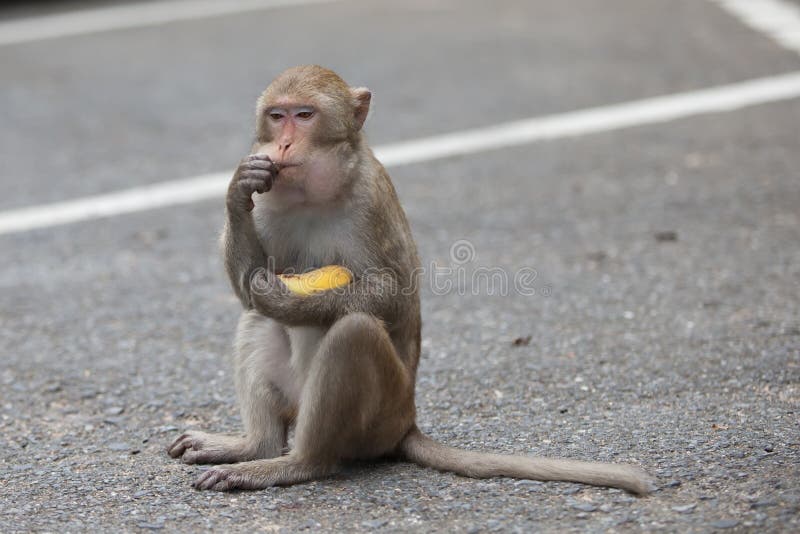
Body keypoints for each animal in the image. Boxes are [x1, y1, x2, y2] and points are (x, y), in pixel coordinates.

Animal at [167, 65, 655, 495]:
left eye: (304, 115)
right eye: (276, 115)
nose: (283, 143)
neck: (315, 193)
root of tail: (407, 422)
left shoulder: (370, 201)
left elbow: (392, 296)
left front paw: (292, 302)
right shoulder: (271, 195)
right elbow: (248, 286)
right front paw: (237, 190)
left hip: (381, 414)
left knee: (353, 333)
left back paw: (298, 463)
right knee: (256, 320)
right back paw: (255, 446)